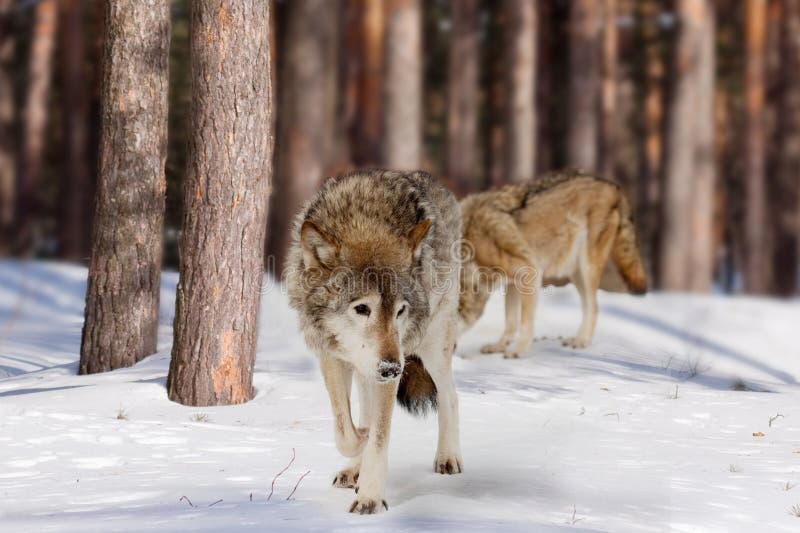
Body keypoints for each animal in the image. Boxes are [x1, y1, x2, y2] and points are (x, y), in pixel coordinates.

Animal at [285, 169, 463, 514]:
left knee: (451, 396)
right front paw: (361, 448)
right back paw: (354, 468)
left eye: (400, 311)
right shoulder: (332, 355)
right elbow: (345, 429)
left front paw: (369, 497)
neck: (365, 221)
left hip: (432, 346)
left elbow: (379, 435)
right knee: (365, 408)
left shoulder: (392, 365)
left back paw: (448, 458)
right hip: (370, 367)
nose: (393, 368)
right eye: (362, 309)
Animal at [458, 169, 647, 358]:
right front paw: (499, 346)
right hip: (575, 273)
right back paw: (577, 338)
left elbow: (525, 323)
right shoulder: (512, 283)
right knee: (588, 306)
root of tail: (613, 186)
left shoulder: (529, 271)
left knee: (594, 307)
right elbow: (510, 321)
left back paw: (582, 341)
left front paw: (518, 352)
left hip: (587, 269)